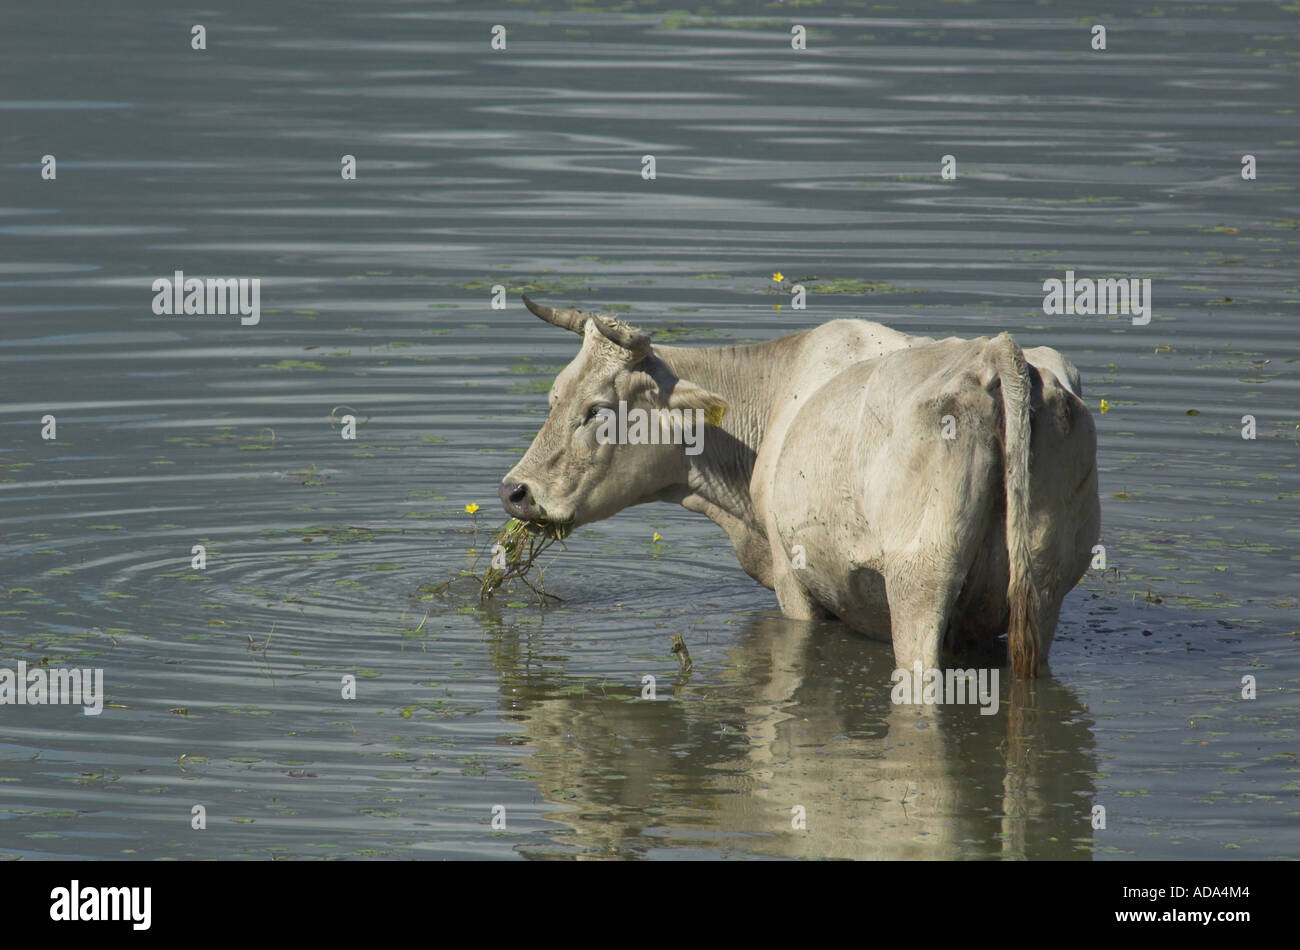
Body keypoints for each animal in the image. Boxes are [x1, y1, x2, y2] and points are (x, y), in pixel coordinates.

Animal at [499, 295, 1100, 677]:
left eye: (596, 409)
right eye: (554, 396)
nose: (514, 491)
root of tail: (995, 354)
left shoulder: (793, 580)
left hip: (920, 583)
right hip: (1043, 592)